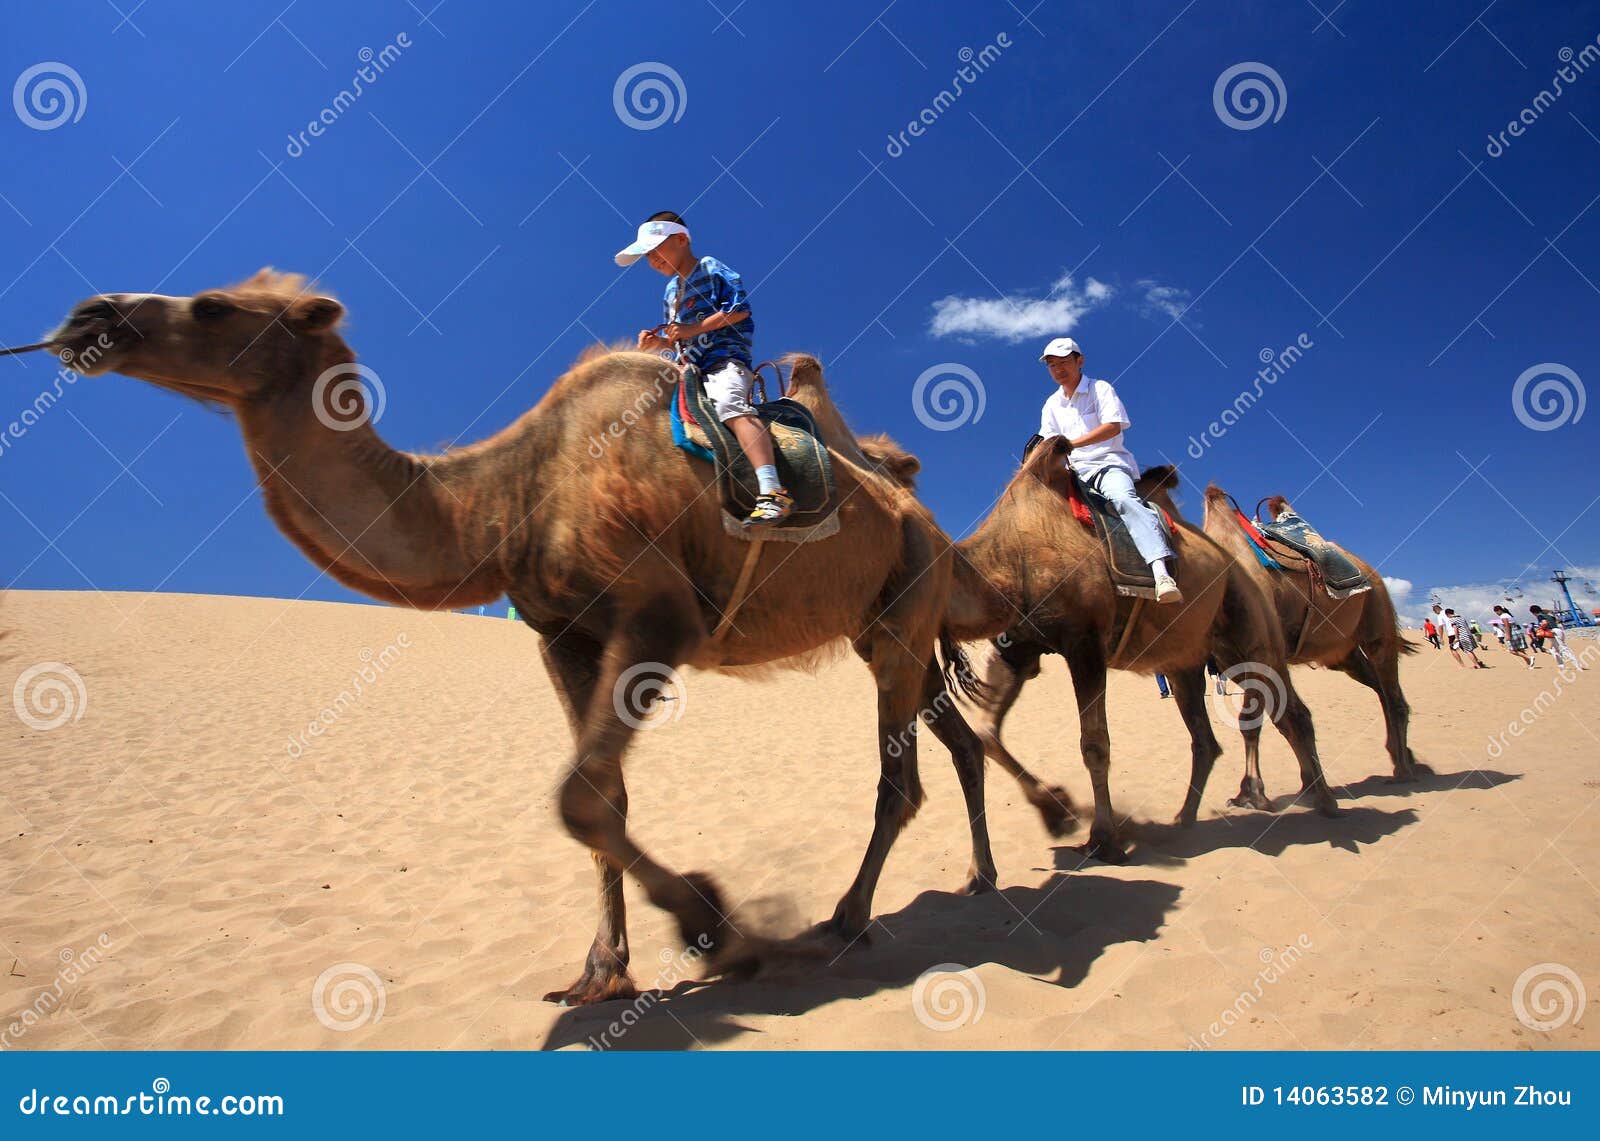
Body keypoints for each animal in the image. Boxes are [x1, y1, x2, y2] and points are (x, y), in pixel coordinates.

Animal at [38, 270, 1001, 1006]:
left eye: (211, 306)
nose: (89, 315)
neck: (511, 494)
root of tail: (921, 512)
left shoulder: (658, 616)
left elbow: (576, 798)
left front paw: (714, 925)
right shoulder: (564, 635)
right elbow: (603, 795)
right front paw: (601, 973)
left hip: (905, 608)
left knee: (899, 780)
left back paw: (845, 919)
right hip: (884, 627)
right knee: (953, 739)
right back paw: (979, 877)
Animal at [1199, 486, 1425, 805]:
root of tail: (1369, 569)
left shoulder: (1265, 652)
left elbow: (1289, 717)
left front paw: (1315, 794)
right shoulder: (1234, 660)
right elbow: (1269, 721)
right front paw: (1265, 791)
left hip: (1377, 620)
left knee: (1392, 694)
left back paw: (1404, 771)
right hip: (1344, 655)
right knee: (1381, 690)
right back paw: (1402, 757)